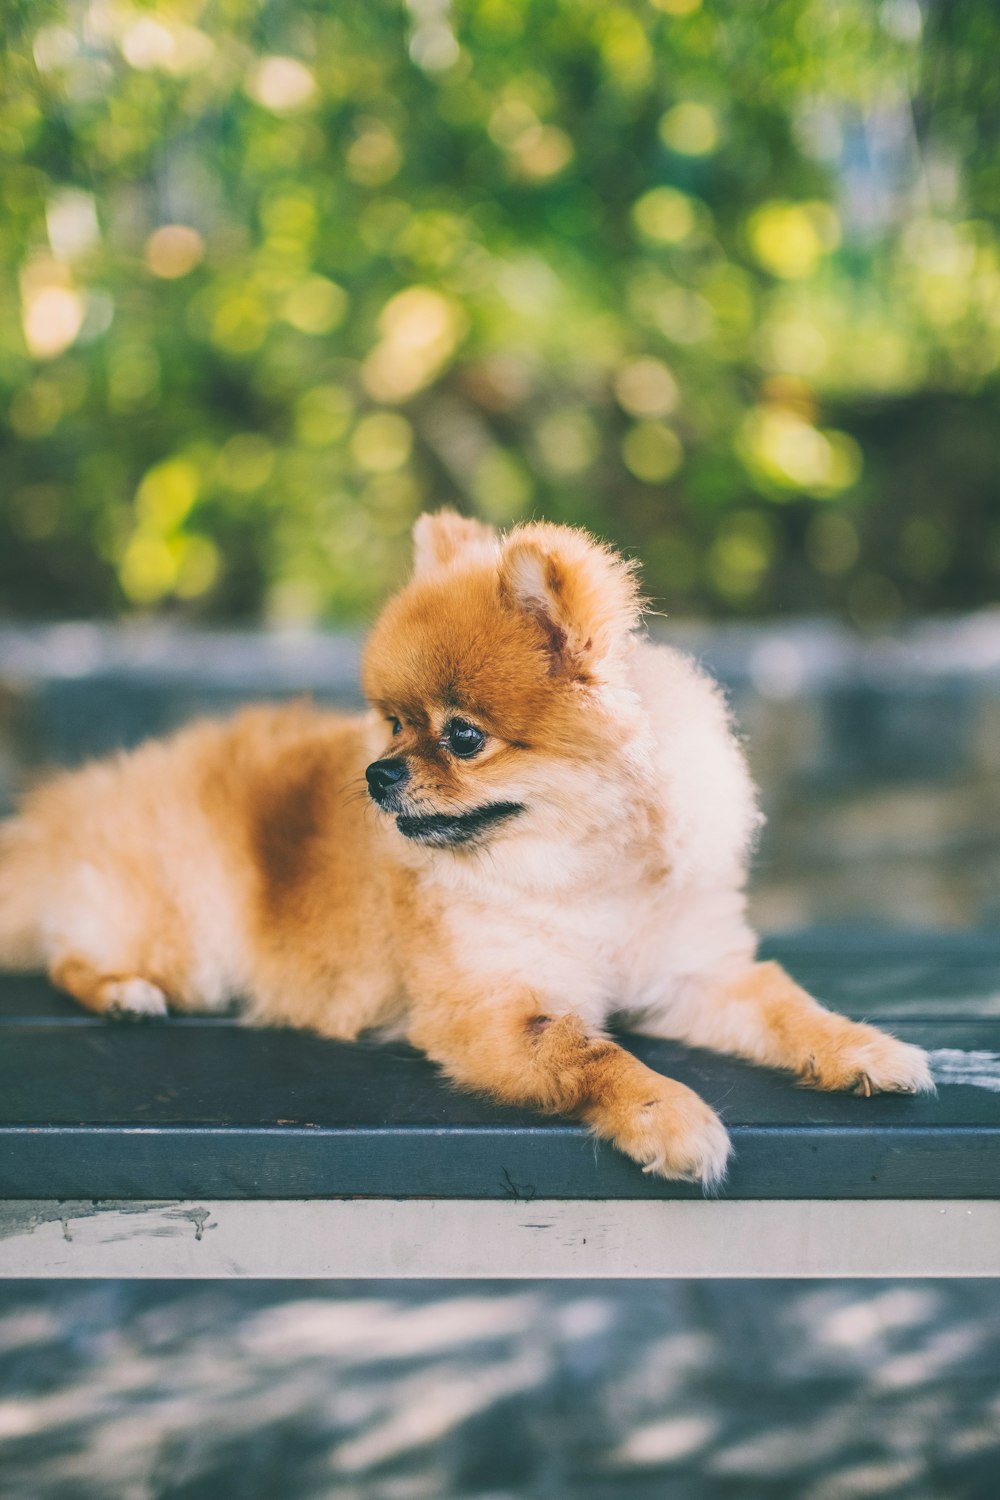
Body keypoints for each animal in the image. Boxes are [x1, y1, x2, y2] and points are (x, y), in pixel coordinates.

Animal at [0, 513, 929, 1182]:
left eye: (463, 737)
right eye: (391, 723)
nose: (377, 773)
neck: (585, 877)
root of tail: (66, 813)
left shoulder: (694, 974)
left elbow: (788, 1006)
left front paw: (864, 1047)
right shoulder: (493, 1007)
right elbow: (594, 1051)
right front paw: (670, 1116)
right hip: (189, 930)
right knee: (70, 957)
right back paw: (124, 991)